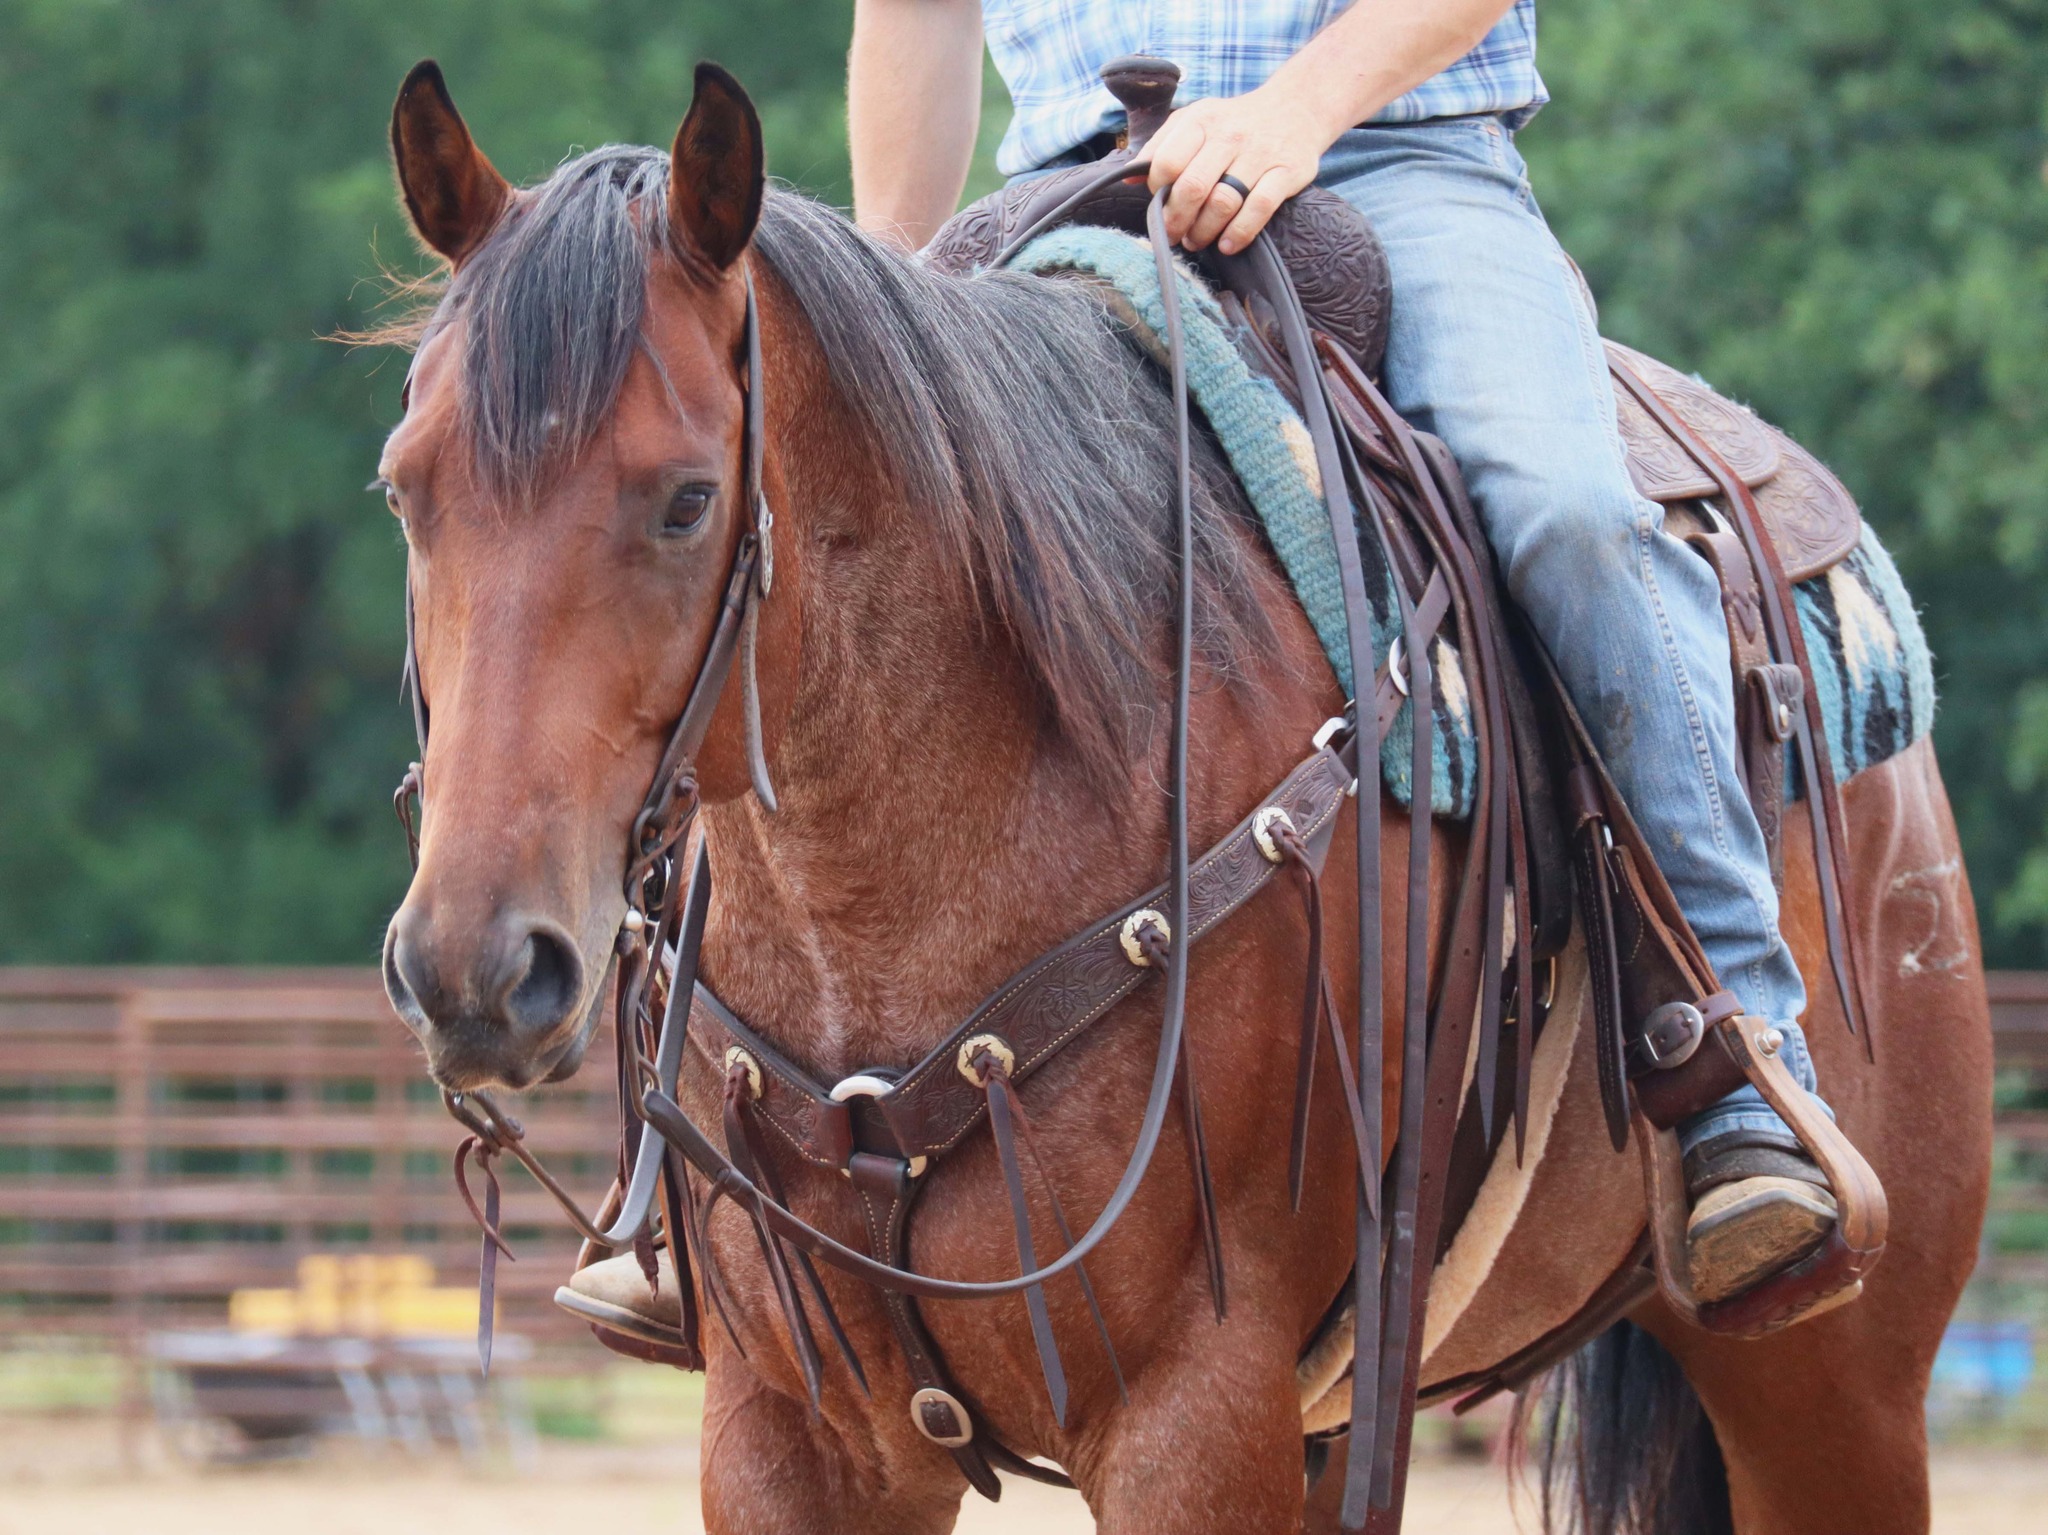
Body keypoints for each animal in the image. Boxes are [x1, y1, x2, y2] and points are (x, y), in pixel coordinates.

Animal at [371, 60, 1993, 1534]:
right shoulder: (794, 1431)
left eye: (688, 498)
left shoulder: (1193, 1411)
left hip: (1834, 1383)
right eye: (405, 487)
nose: (478, 964)